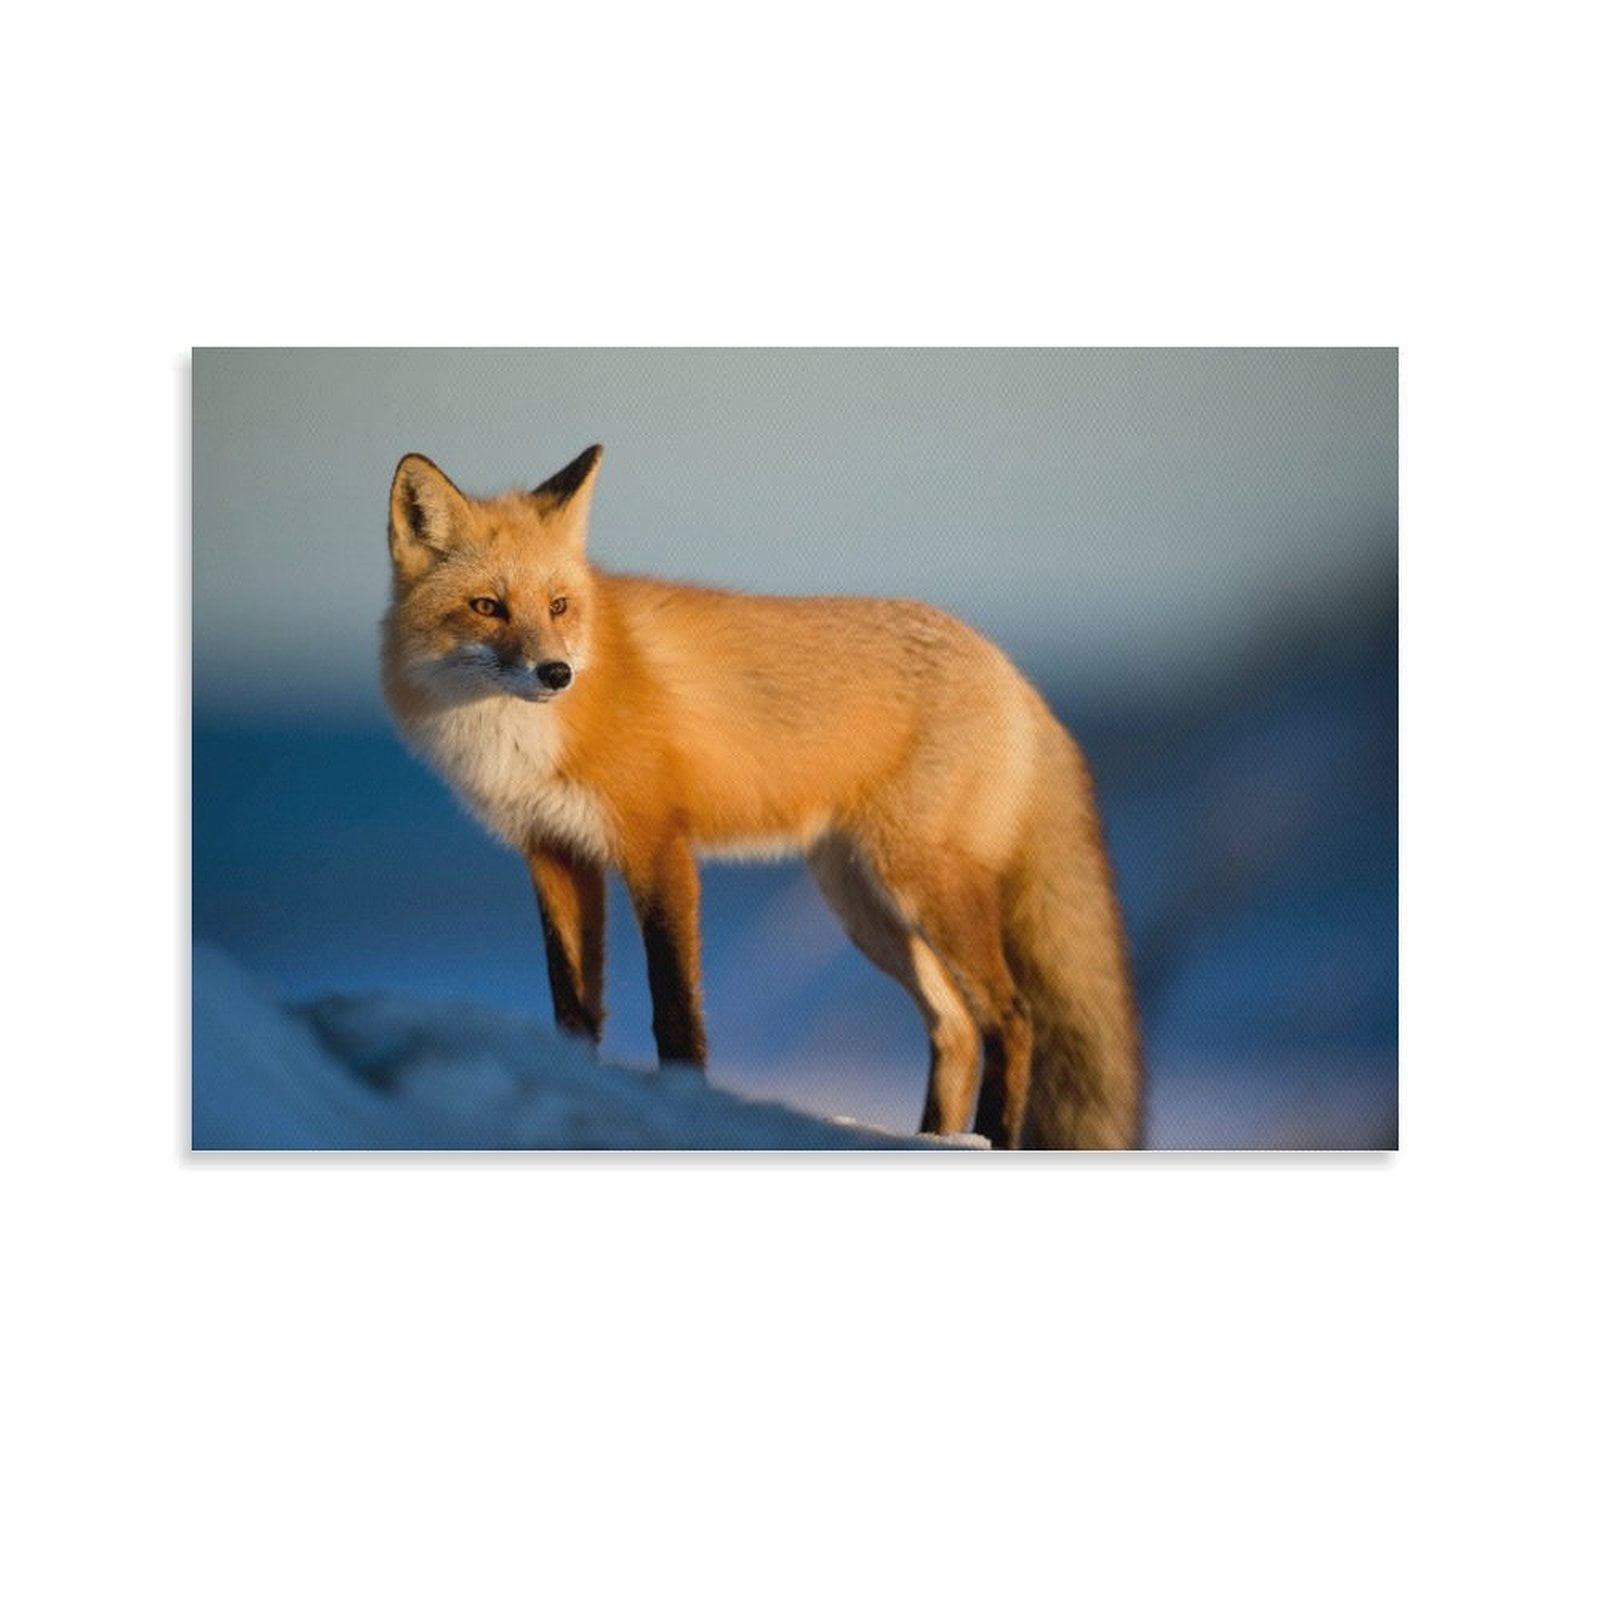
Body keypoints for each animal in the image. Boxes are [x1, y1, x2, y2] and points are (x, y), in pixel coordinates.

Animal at [381, 445, 1141, 1148]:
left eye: (559, 606)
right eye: (487, 607)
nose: (556, 672)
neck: (518, 740)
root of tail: (1010, 670)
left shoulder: (657, 845)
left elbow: (675, 1008)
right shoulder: (555, 854)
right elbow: (573, 1008)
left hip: (921, 883)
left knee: (1012, 1017)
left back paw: (992, 1136)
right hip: (862, 904)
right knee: (955, 1026)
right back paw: (934, 1138)